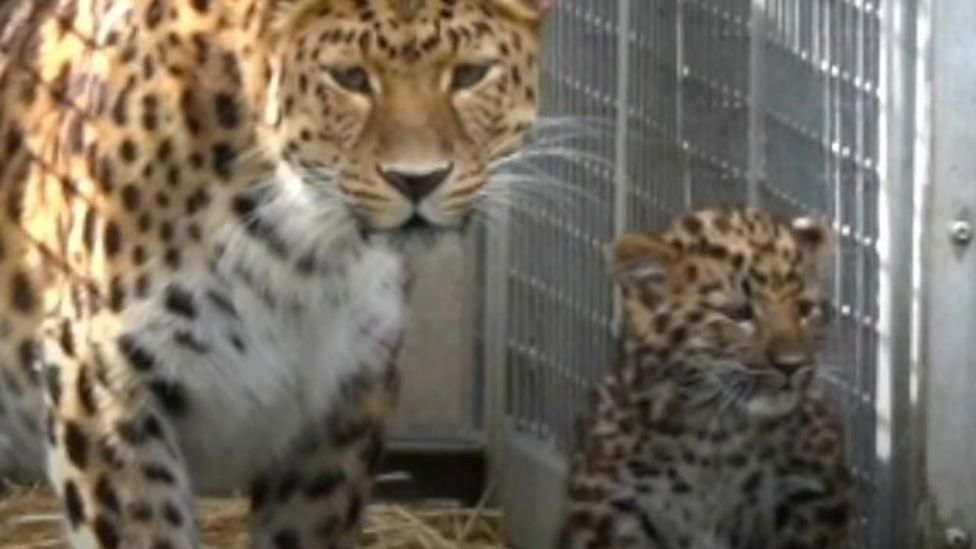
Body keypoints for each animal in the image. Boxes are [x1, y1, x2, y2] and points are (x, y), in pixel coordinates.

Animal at [0, 0, 553, 547]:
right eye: (350, 77)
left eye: (471, 74)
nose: (418, 180)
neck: (302, 254)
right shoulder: (104, 383)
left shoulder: (344, 396)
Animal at [557, 208, 852, 549]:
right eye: (739, 314)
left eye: (804, 309)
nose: (793, 365)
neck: (718, 437)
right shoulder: (614, 509)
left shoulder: (811, 503)